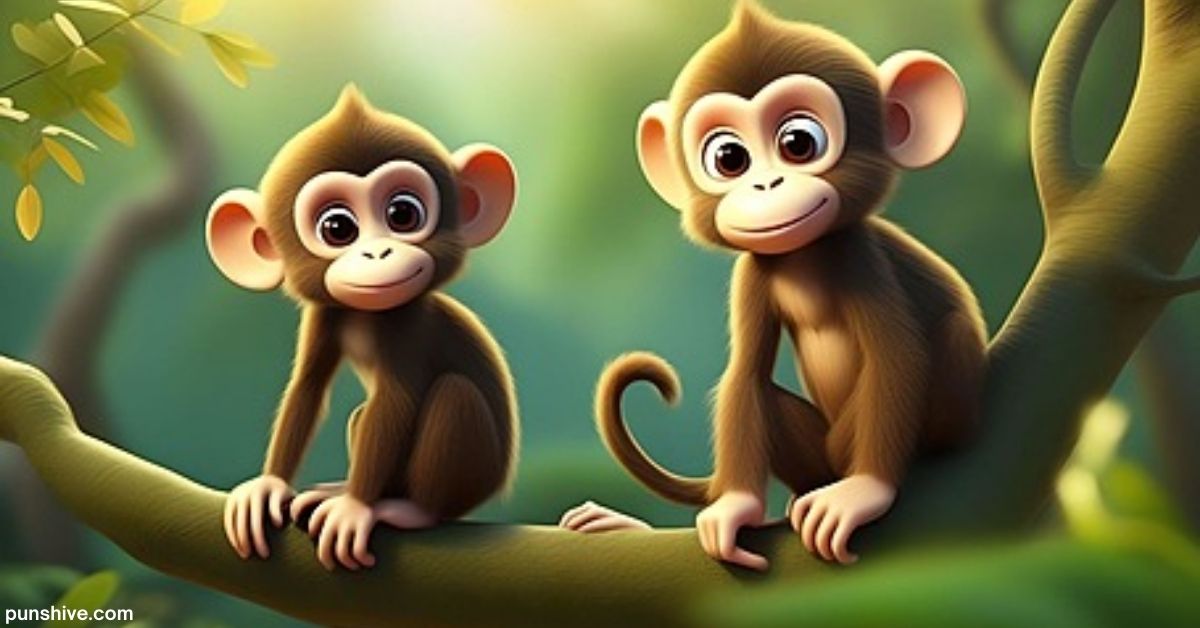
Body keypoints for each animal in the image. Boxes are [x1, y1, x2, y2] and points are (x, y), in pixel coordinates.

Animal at [206, 85, 520, 571]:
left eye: (403, 214)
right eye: (337, 227)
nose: (377, 254)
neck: (366, 315)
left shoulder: (408, 322)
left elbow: (396, 400)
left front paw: (355, 510)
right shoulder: (323, 315)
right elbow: (309, 385)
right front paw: (269, 486)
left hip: (474, 474)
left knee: (454, 395)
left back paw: (409, 509)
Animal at [561, 1, 986, 570]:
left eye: (798, 143)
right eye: (729, 158)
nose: (766, 184)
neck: (802, 255)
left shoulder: (857, 255)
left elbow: (897, 357)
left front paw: (863, 493)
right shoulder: (753, 272)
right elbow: (746, 375)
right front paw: (735, 505)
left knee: (949, 338)